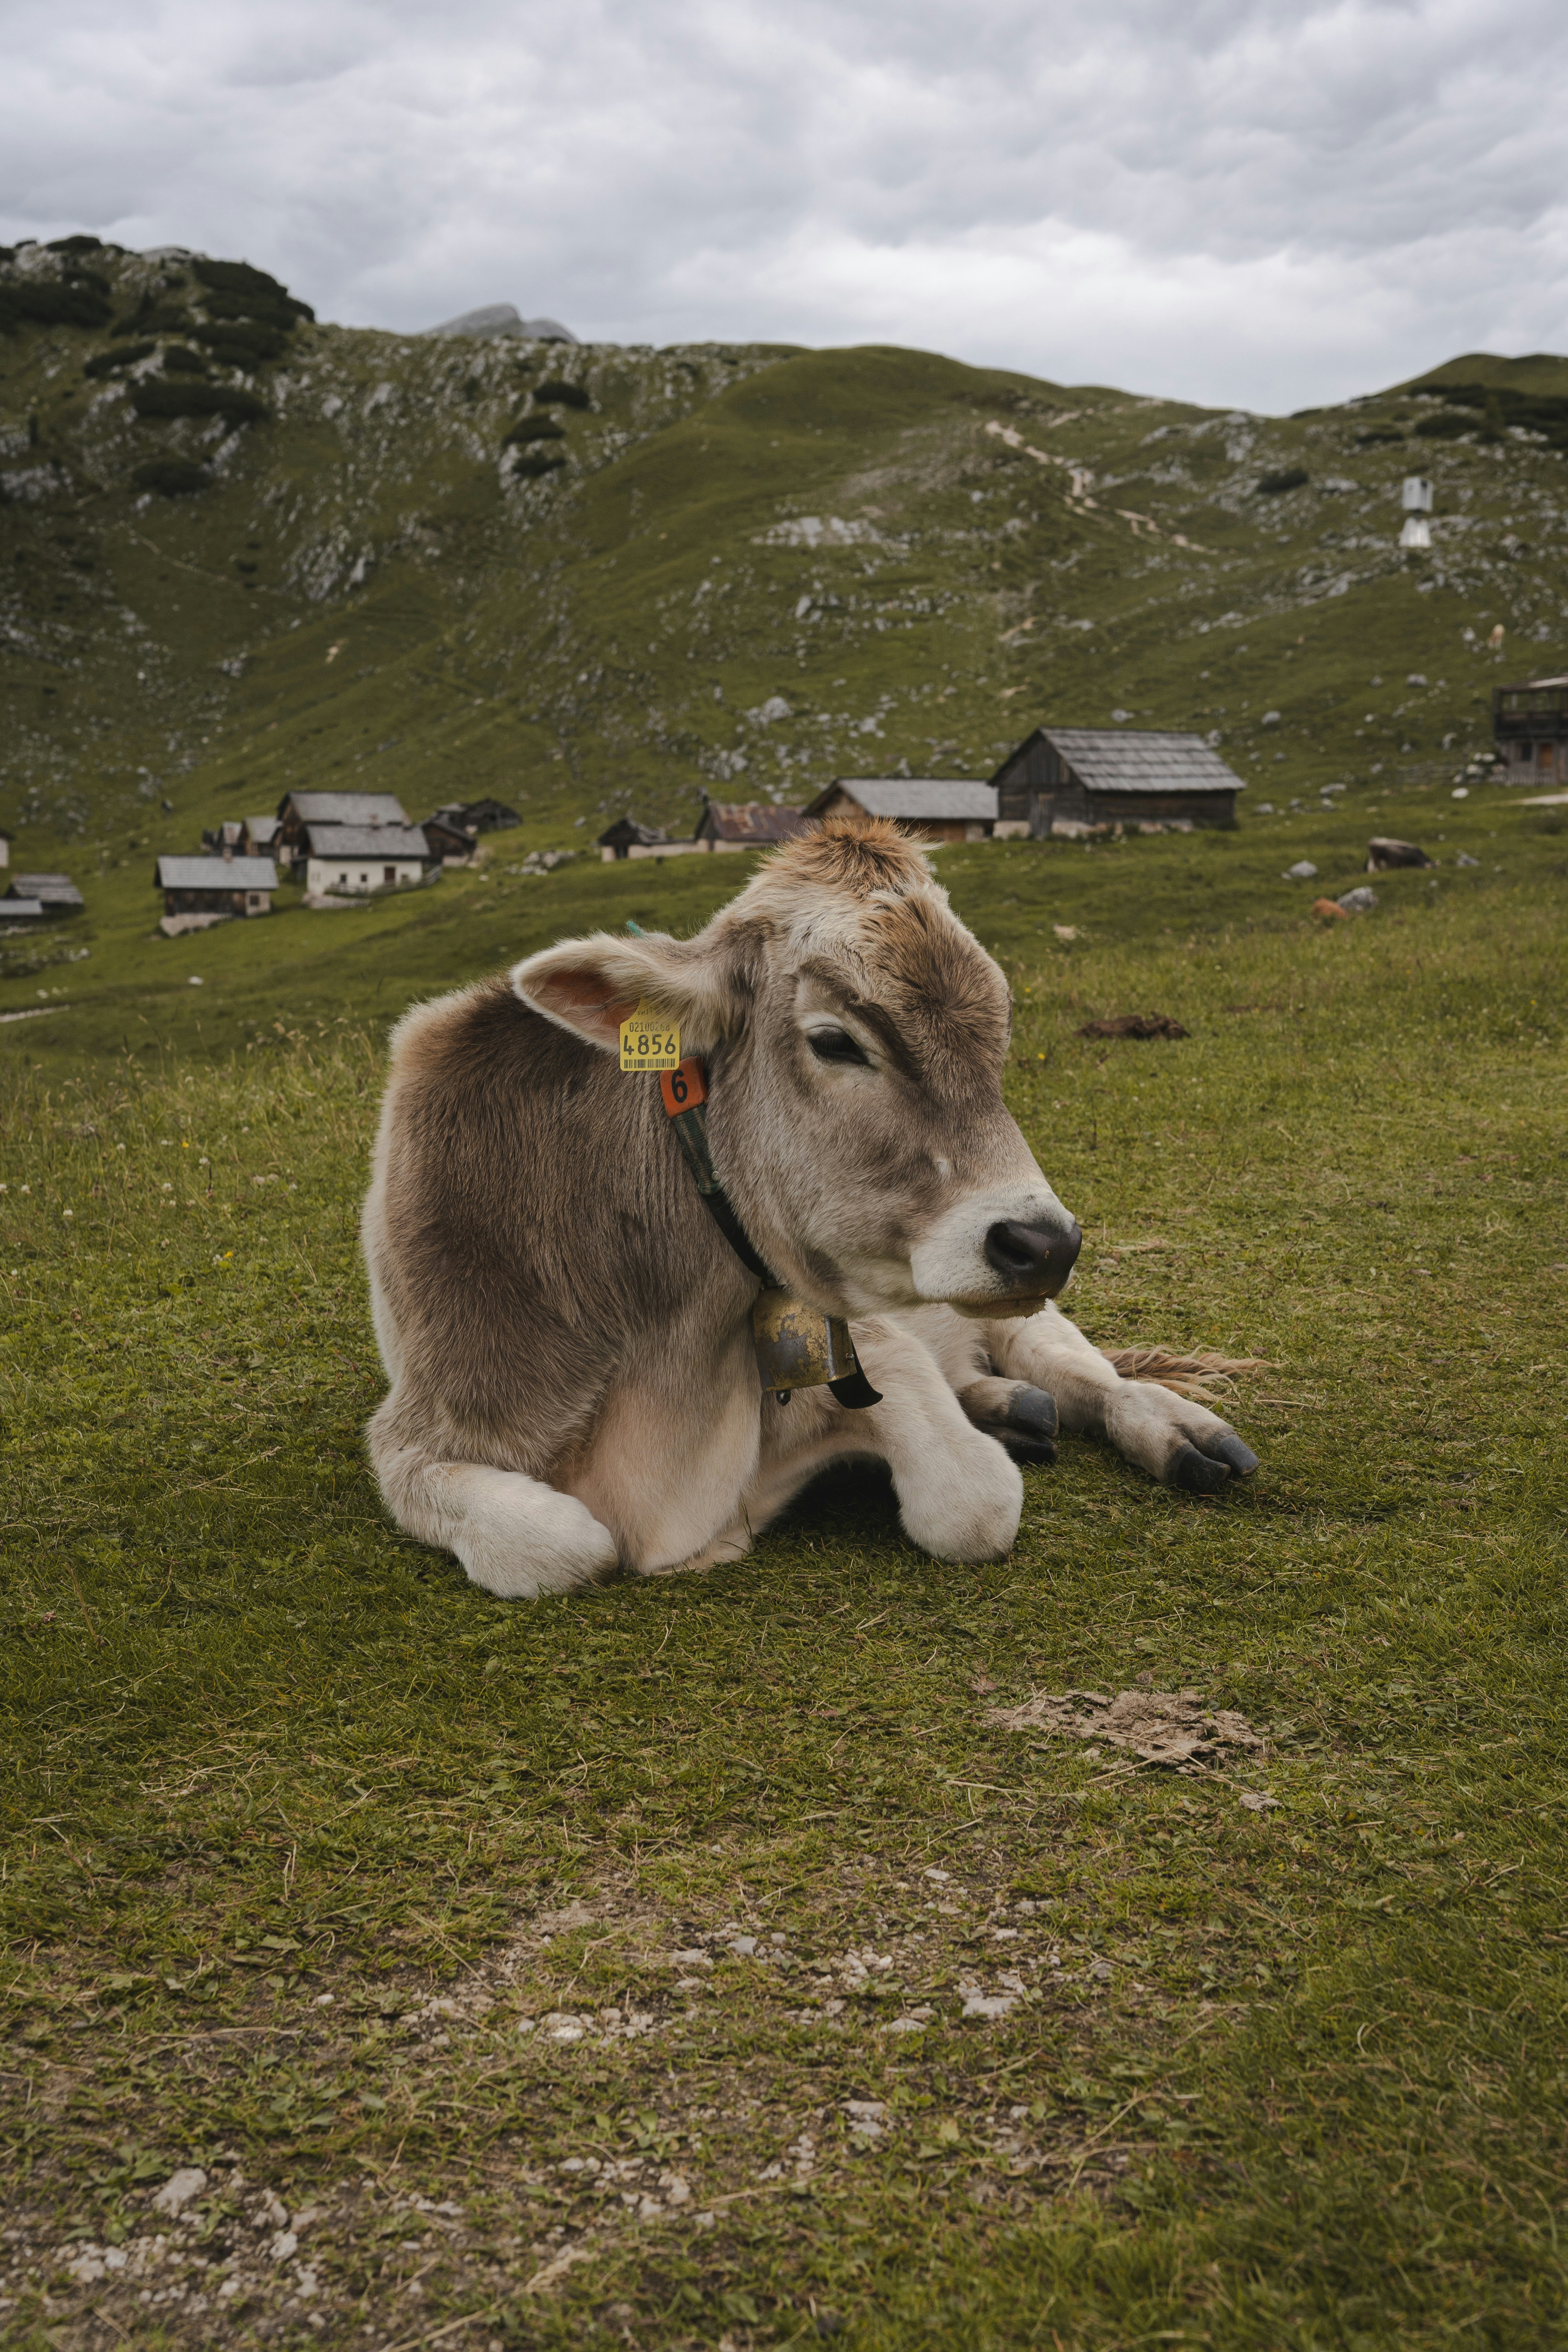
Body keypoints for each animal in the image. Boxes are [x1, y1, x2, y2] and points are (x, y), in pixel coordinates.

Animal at [362, 815, 1257, 1599]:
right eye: (834, 1041)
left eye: (997, 1040)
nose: (1044, 1243)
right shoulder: (414, 1438)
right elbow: (564, 1542)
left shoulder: (854, 1332)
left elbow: (974, 1503)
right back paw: (1007, 1409)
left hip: (1017, 1316)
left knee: (1083, 1375)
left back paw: (1176, 1432)